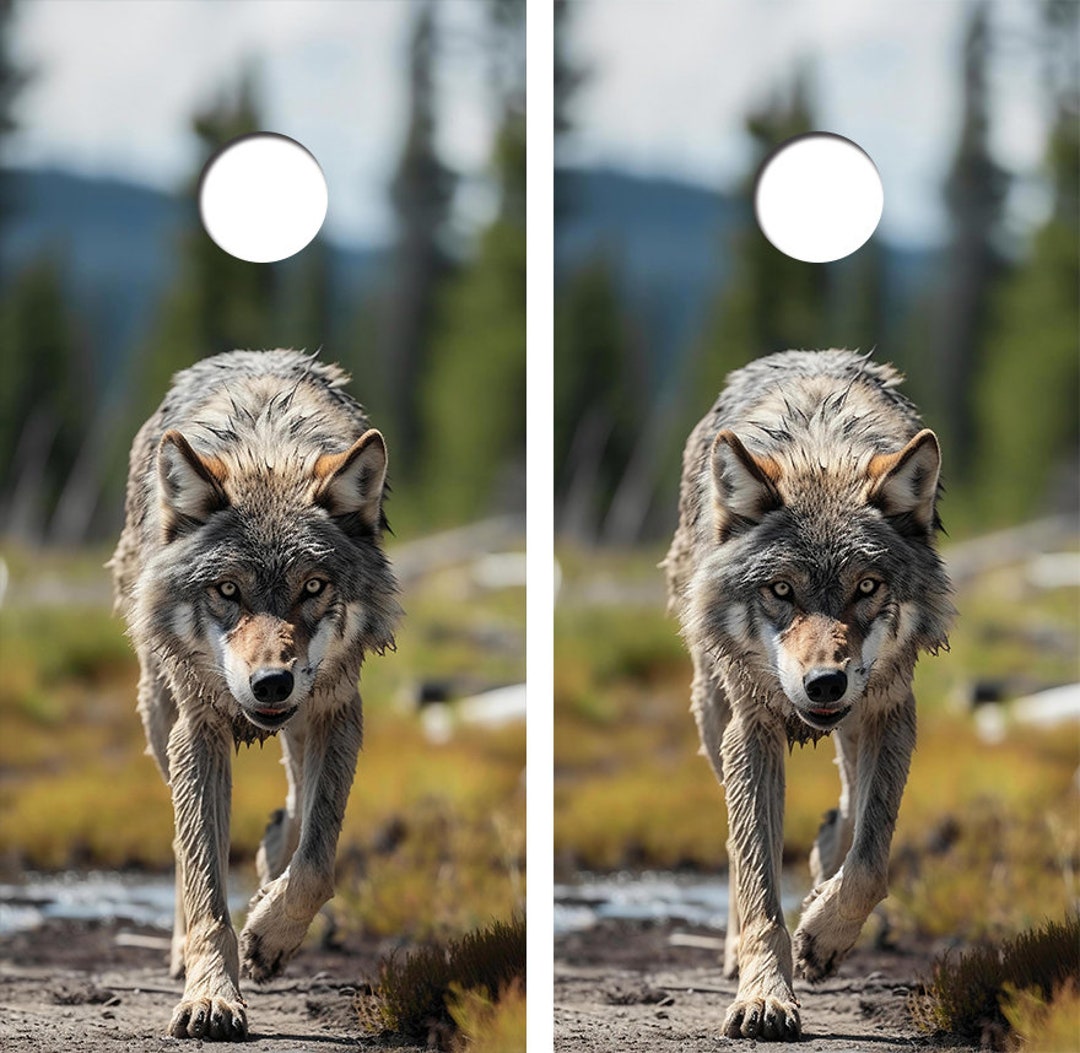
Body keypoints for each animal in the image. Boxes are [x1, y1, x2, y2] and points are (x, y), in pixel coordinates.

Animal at [110, 349, 401, 1041]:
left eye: (313, 586)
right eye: (227, 590)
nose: (271, 682)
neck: (268, 449)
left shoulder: (337, 710)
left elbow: (318, 858)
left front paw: (268, 938)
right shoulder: (199, 729)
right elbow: (205, 881)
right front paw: (211, 996)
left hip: (307, 715)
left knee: (295, 805)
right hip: (159, 715)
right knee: (183, 845)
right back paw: (181, 947)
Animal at [662, 349, 954, 1042]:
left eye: (867, 586)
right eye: (781, 590)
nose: (825, 682)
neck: (822, 449)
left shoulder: (891, 711)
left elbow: (871, 858)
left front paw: (822, 937)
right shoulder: (753, 728)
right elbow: (759, 881)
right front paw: (764, 996)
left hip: (860, 715)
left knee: (848, 805)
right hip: (713, 716)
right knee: (736, 845)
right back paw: (735, 948)